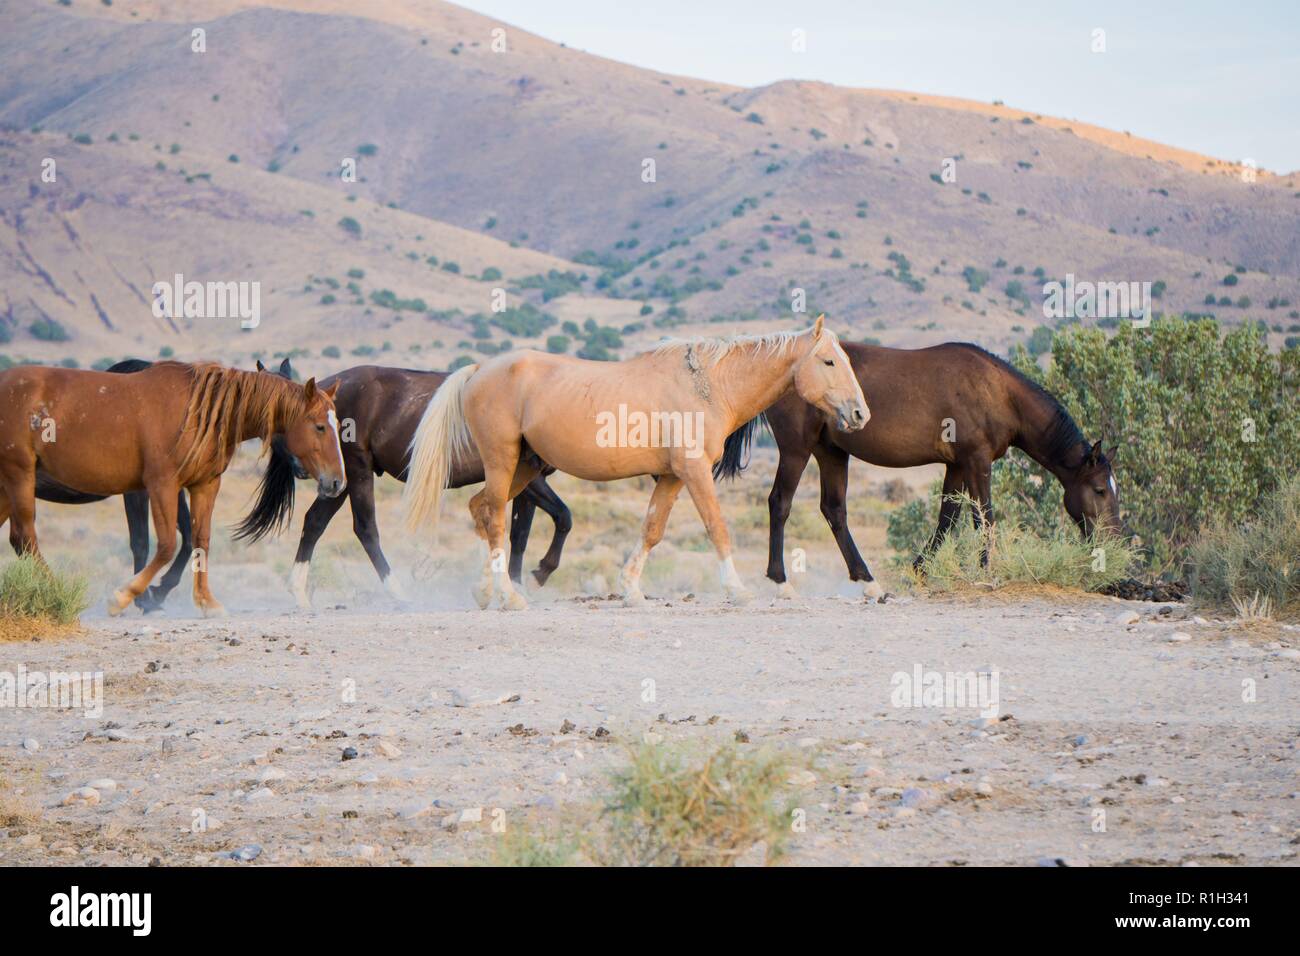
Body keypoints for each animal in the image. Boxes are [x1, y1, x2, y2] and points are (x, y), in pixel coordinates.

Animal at [0, 361, 346, 616]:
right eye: (319, 426)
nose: (336, 481)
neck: (199, 413)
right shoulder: (160, 485)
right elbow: (164, 545)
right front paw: (125, 596)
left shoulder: (204, 485)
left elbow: (201, 540)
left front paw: (206, 601)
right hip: (19, 475)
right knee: (25, 537)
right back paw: (55, 592)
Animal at [232, 364, 574, 608]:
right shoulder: (528, 479)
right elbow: (562, 517)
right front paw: (538, 575)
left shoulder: (528, 480)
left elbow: (521, 534)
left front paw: (517, 586)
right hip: (356, 471)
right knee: (365, 528)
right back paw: (398, 592)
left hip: (338, 481)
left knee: (314, 522)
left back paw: (300, 594)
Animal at [401, 315, 868, 610]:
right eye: (828, 361)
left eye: (847, 360)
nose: (860, 414)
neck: (707, 385)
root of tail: (480, 368)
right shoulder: (694, 472)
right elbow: (717, 528)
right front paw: (737, 590)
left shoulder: (671, 477)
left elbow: (651, 530)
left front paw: (630, 590)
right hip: (503, 461)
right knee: (496, 519)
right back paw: (510, 597)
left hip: (524, 466)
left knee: (482, 510)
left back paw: (485, 592)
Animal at [717, 341, 1121, 599]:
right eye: (1100, 490)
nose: (1113, 542)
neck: (996, 391)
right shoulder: (977, 461)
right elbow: (984, 518)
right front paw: (987, 573)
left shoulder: (956, 465)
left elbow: (948, 517)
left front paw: (920, 570)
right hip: (796, 449)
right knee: (779, 504)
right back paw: (780, 581)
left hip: (832, 452)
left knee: (834, 511)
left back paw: (868, 581)